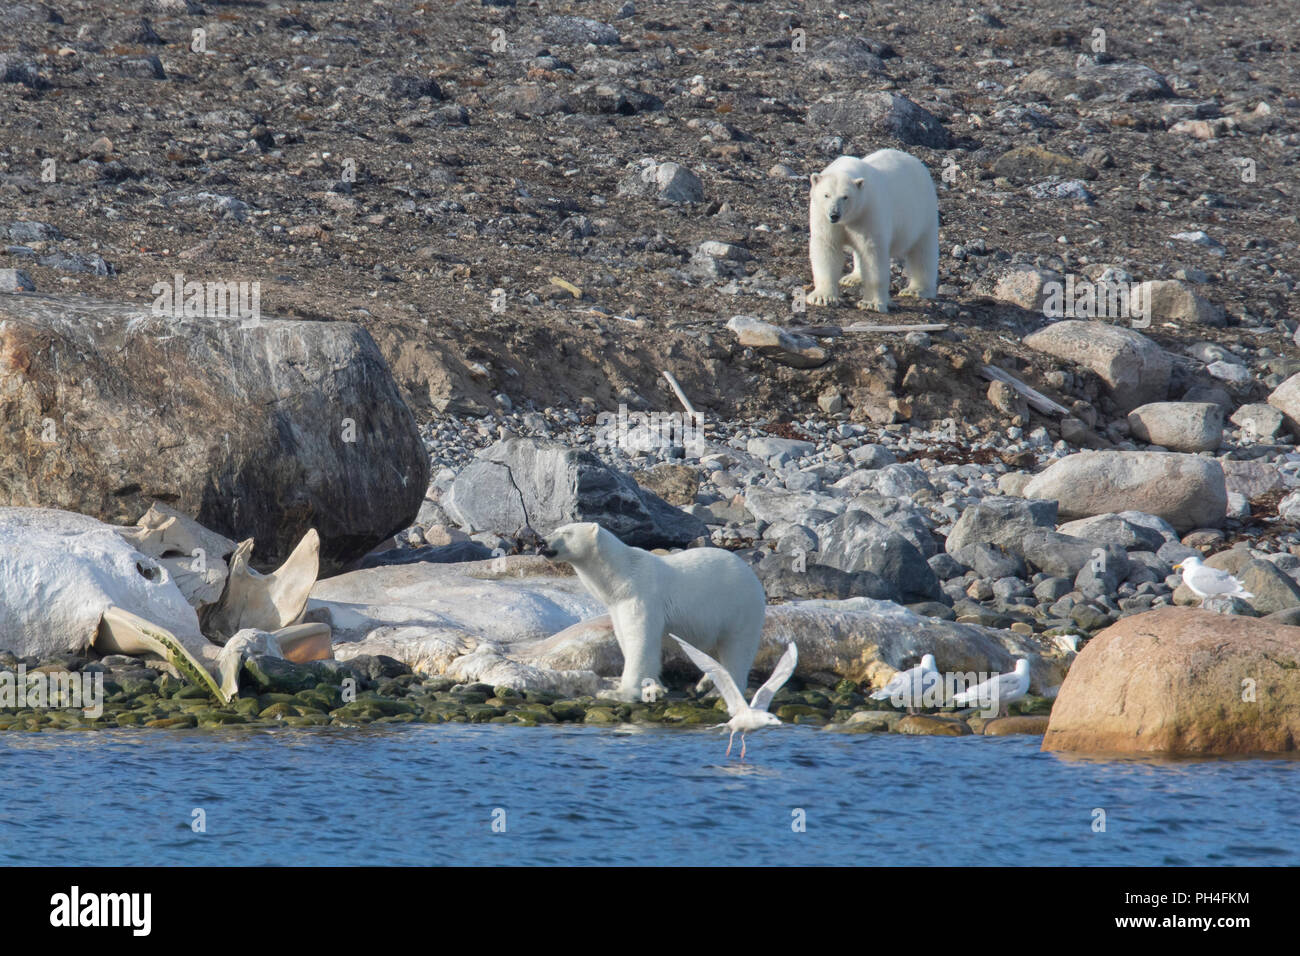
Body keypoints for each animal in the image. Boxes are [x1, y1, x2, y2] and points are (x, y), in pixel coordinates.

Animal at [539, 522, 767, 701]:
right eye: (554, 529)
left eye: (566, 532)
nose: (541, 542)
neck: (621, 577)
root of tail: (753, 577)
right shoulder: (617, 606)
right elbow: (624, 637)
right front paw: (655, 687)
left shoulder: (642, 597)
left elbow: (639, 640)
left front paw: (617, 693)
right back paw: (705, 683)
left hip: (739, 608)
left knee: (737, 649)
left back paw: (719, 691)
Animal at [807, 149, 939, 312]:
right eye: (826, 194)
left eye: (845, 197)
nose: (834, 214)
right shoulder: (823, 217)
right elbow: (827, 248)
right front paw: (822, 297)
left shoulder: (869, 212)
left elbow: (872, 253)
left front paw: (871, 303)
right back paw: (852, 278)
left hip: (923, 213)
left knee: (922, 251)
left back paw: (916, 289)